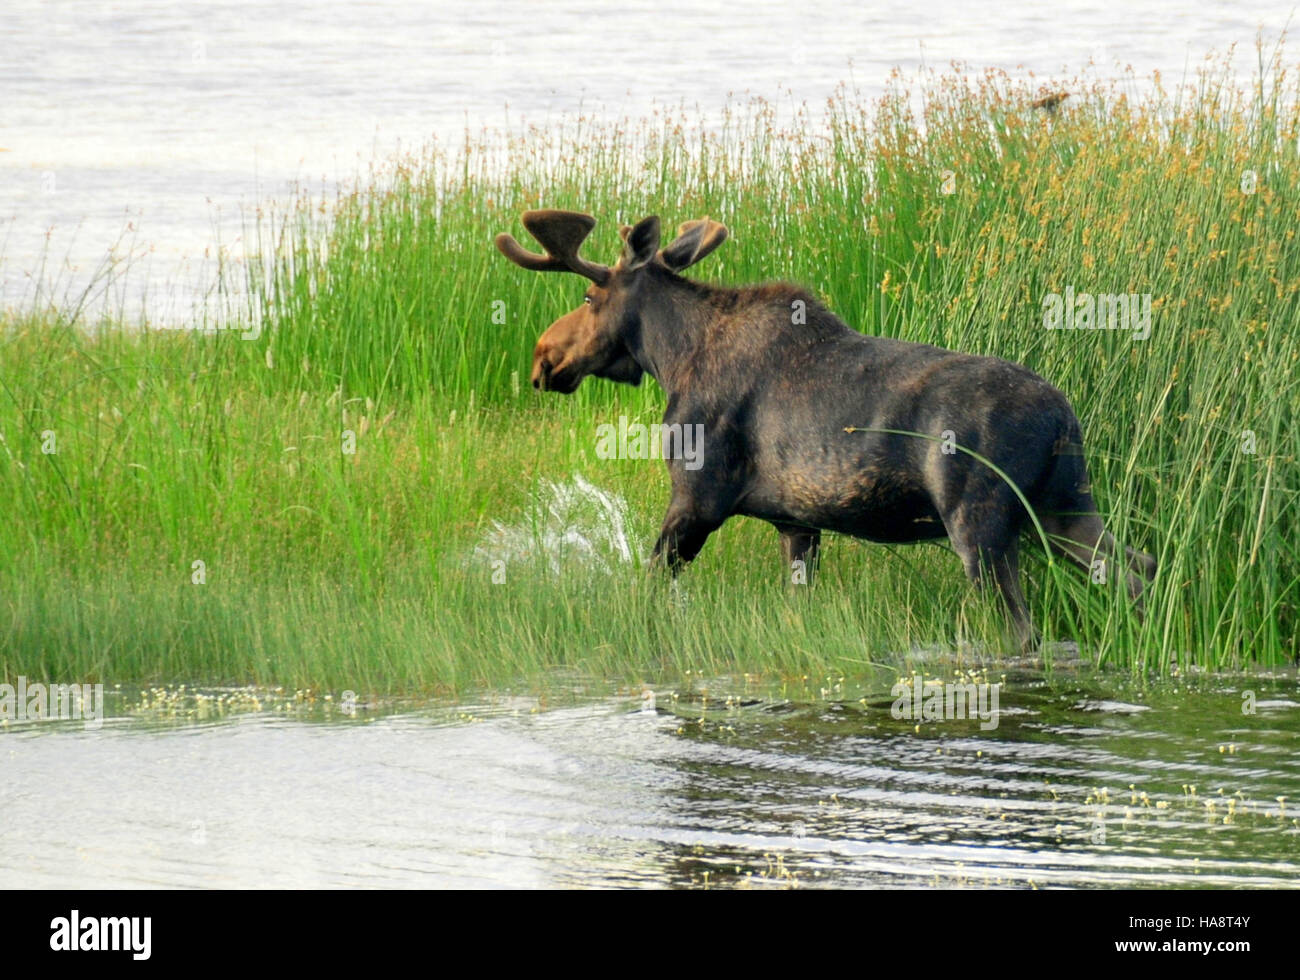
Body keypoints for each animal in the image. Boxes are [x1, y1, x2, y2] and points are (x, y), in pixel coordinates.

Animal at [495, 209, 1156, 651]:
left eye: (589, 295)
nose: (544, 358)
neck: (672, 358)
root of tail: (1063, 417)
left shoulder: (697, 499)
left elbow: (649, 585)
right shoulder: (797, 522)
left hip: (981, 522)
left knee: (1024, 631)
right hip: (1062, 506)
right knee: (1137, 568)